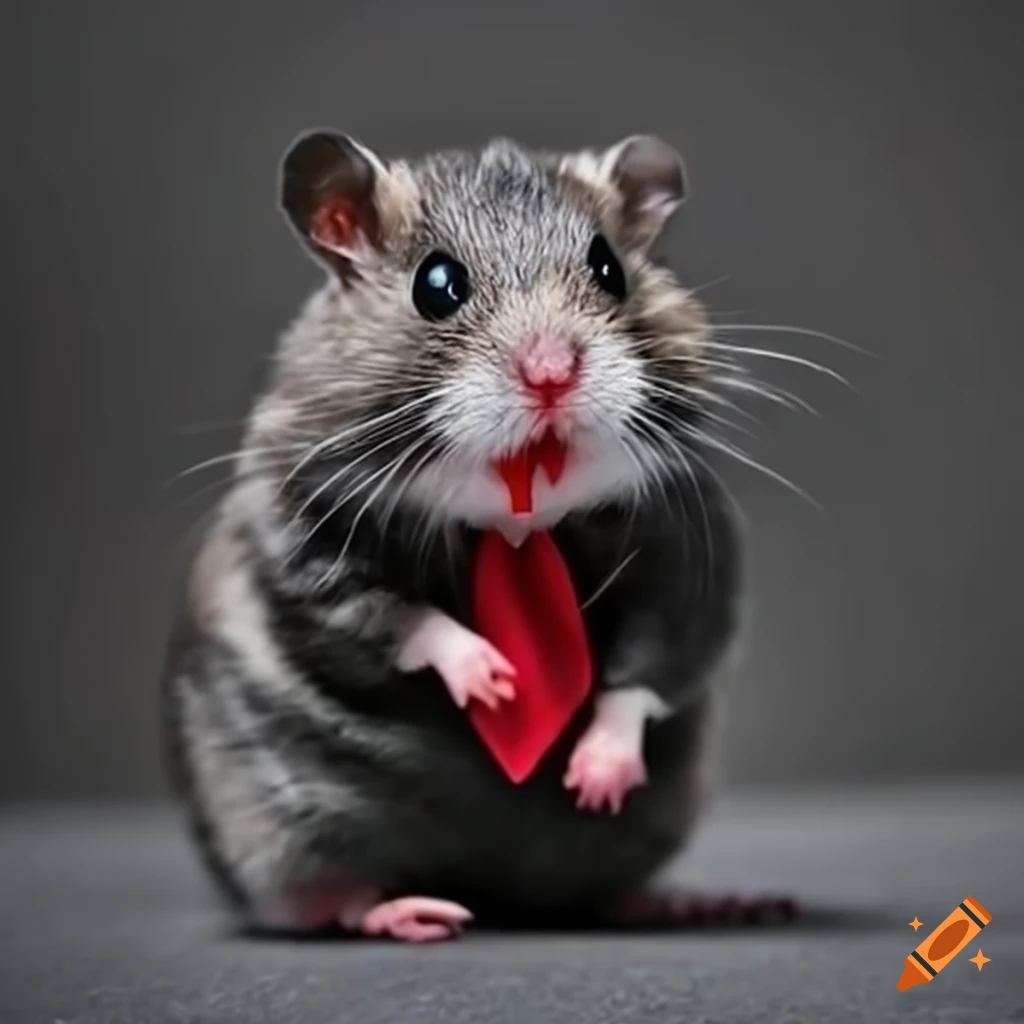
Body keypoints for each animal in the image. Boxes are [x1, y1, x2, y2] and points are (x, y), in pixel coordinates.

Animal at [160, 130, 794, 941]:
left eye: (610, 269)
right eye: (437, 285)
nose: (552, 374)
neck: (517, 520)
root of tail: (493, 888)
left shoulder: (686, 542)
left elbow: (653, 660)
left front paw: (595, 775)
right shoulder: (302, 536)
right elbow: (389, 612)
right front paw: (495, 679)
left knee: (608, 893)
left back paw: (695, 901)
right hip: (275, 823)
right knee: (326, 896)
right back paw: (404, 911)